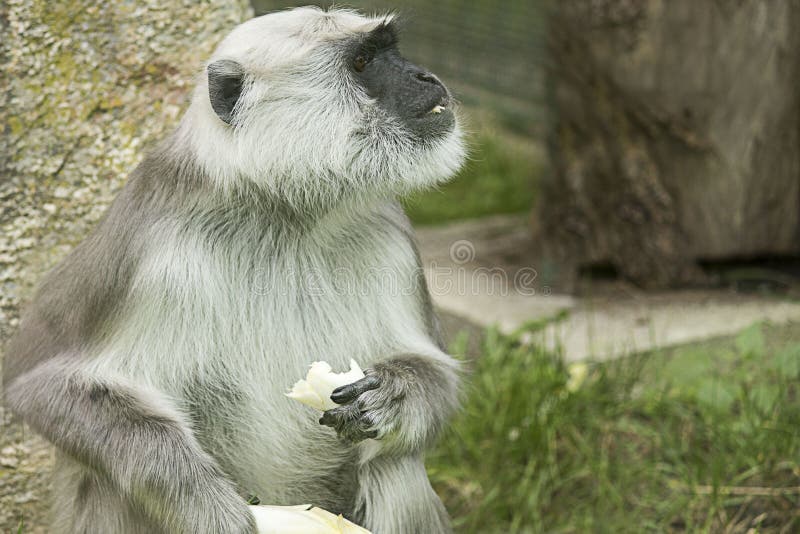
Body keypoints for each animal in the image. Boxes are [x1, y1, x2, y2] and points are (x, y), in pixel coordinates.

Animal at [2, 6, 466, 534]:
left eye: (390, 51)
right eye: (363, 62)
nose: (424, 77)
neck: (284, 214)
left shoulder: (392, 237)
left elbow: (437, 372)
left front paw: (391, 395)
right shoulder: (148, 246)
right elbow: (40, 383)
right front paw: (213, 510)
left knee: (393, 464)